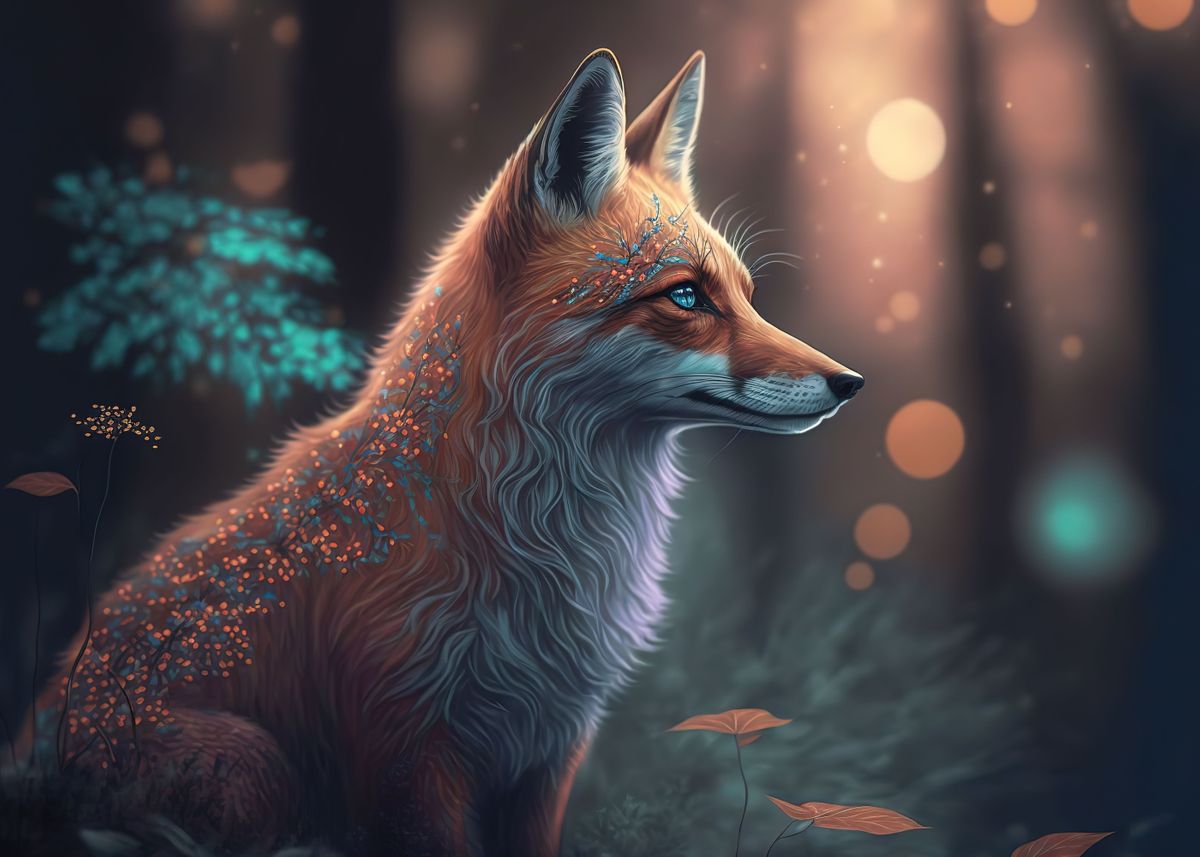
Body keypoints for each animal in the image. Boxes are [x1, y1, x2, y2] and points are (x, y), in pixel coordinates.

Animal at [21, 48, 862, 855]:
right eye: (686, 296)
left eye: (748, 294)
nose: (850, 383)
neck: (532, 545)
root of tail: (29, 745)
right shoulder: (407, 752)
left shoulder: (551, 751)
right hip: (258, 768)